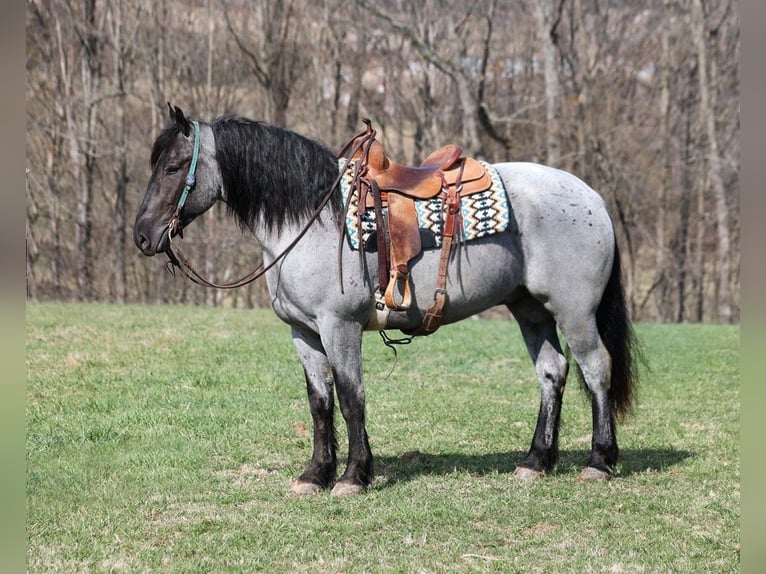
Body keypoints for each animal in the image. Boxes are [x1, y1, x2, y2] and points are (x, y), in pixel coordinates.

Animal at [134, 104, 639, 496]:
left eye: (174, 168)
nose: (142, 236)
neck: (315, 219)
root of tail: (591, 197)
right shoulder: (303, 332)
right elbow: (320, 402)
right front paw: (315, 474)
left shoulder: (339, 326)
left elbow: (351, 397)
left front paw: (354, 476)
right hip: (530, 309)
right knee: (552, 372)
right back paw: (536, 462)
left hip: (575, 312)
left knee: (597, 370)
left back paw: (598, 461)